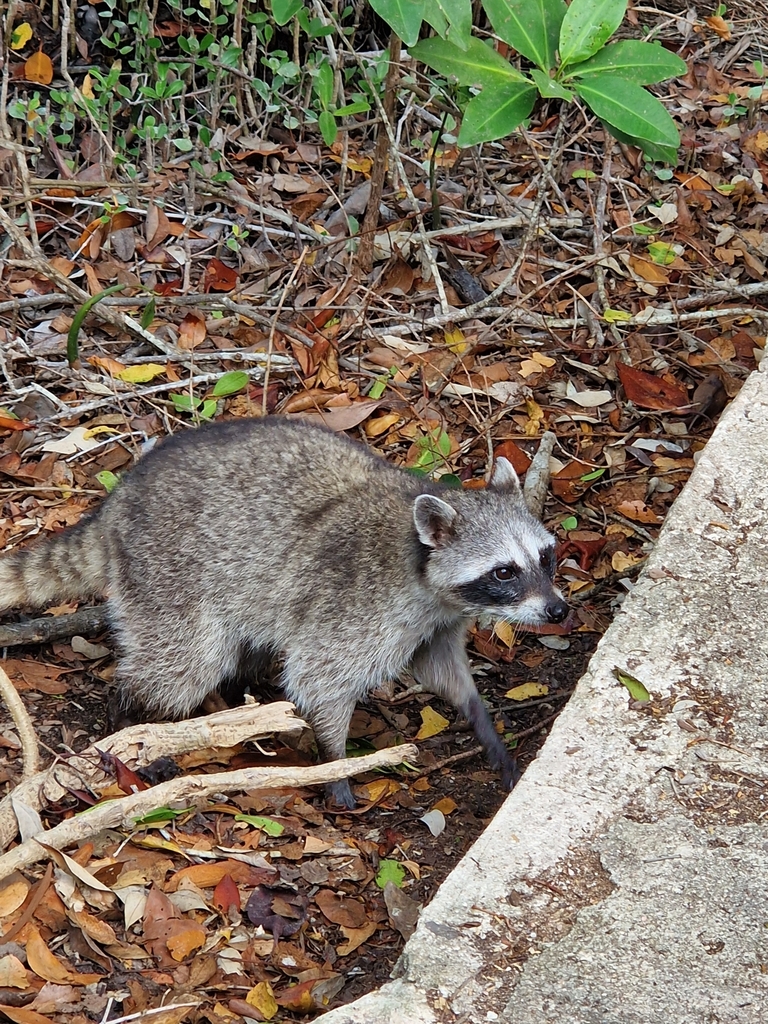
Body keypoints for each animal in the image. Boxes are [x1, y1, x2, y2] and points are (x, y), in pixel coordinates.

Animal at [0, 417, 567, 807]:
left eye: (544, 557)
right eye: (504, 572)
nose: (559, 611)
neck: (422, 564)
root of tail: (118, 503)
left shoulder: (436, 620)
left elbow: (440, 670)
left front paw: (481, 720)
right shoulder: (357, 602)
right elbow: (320, 678)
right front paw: (334, 760)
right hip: (169, 569)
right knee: (182, 665)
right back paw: (134, 717)